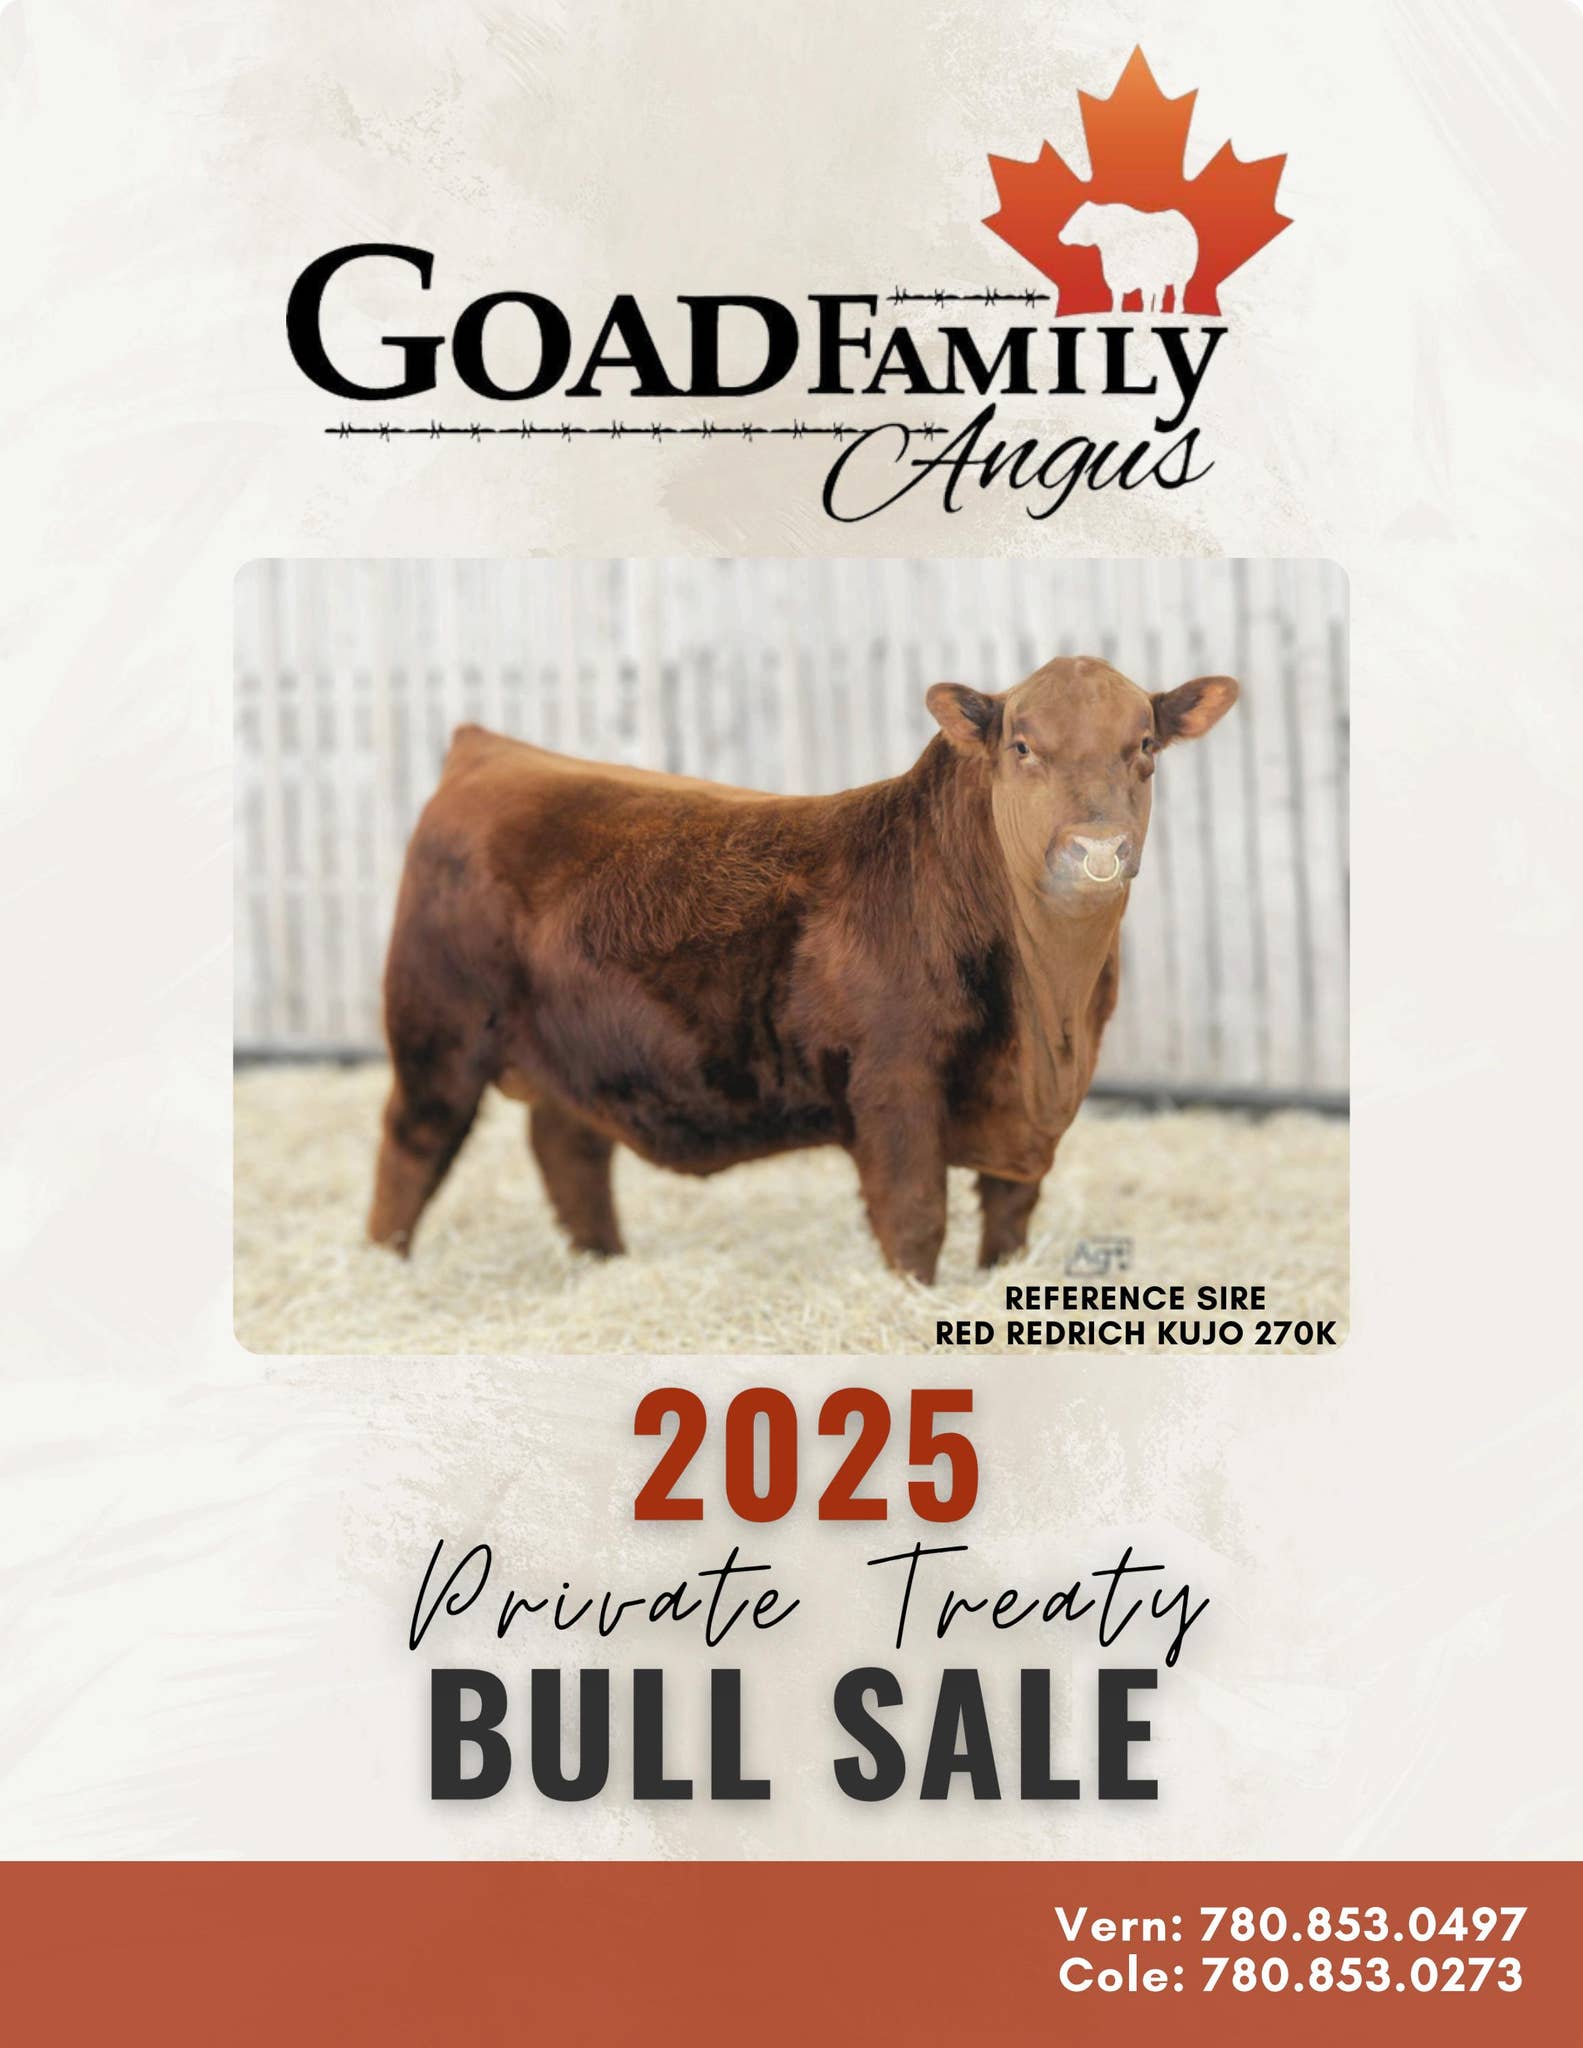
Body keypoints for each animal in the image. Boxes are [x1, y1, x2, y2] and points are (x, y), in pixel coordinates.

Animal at [367, 656, 1239, 1284]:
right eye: (1022, 746)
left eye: (1145, 747)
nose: (1095, 847)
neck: (1048, 1023)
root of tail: (491, 750)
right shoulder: (893, 1080)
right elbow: (914, 1214)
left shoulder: (1032, 1110)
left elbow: (1010, 1221)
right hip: (436, 1030)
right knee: (414, 1140)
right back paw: (386, 1268)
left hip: (576, 1047)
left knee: (569, 1147)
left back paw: (604, 1263)